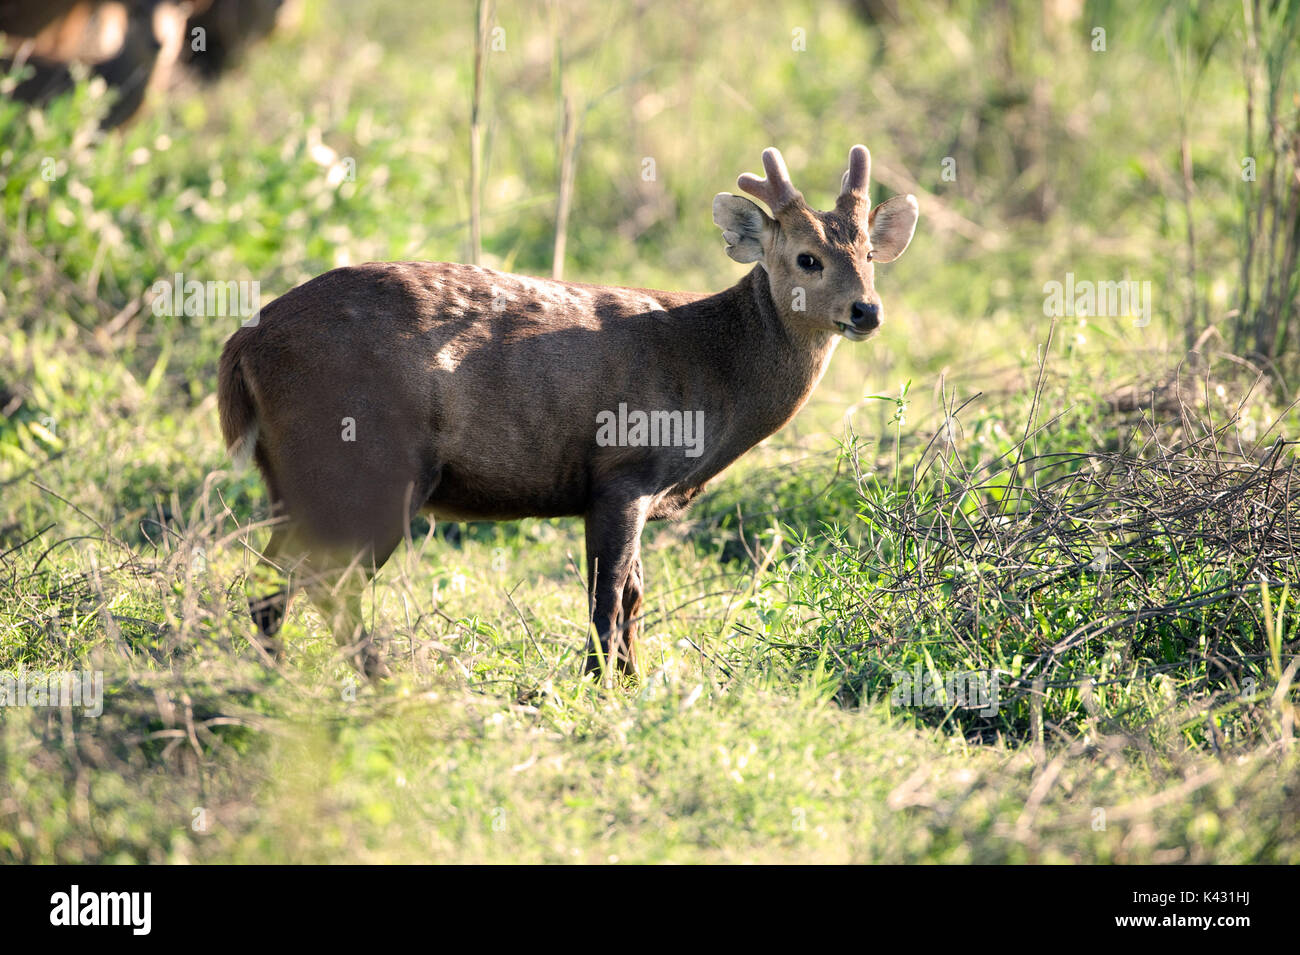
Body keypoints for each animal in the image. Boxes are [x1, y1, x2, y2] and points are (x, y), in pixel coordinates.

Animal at [218, 144, 918, 681]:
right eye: (807, 258)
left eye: (869, 256)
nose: (867, 311)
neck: (711, 367)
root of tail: (245, 343)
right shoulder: (623, 470)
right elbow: (608, 599)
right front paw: (598, 686)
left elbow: (633, 595)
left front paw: (634, 683)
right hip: (366, 461)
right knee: (324, 580)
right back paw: (377, 684)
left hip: (296, 477)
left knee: (271, 577)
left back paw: (273, 677)